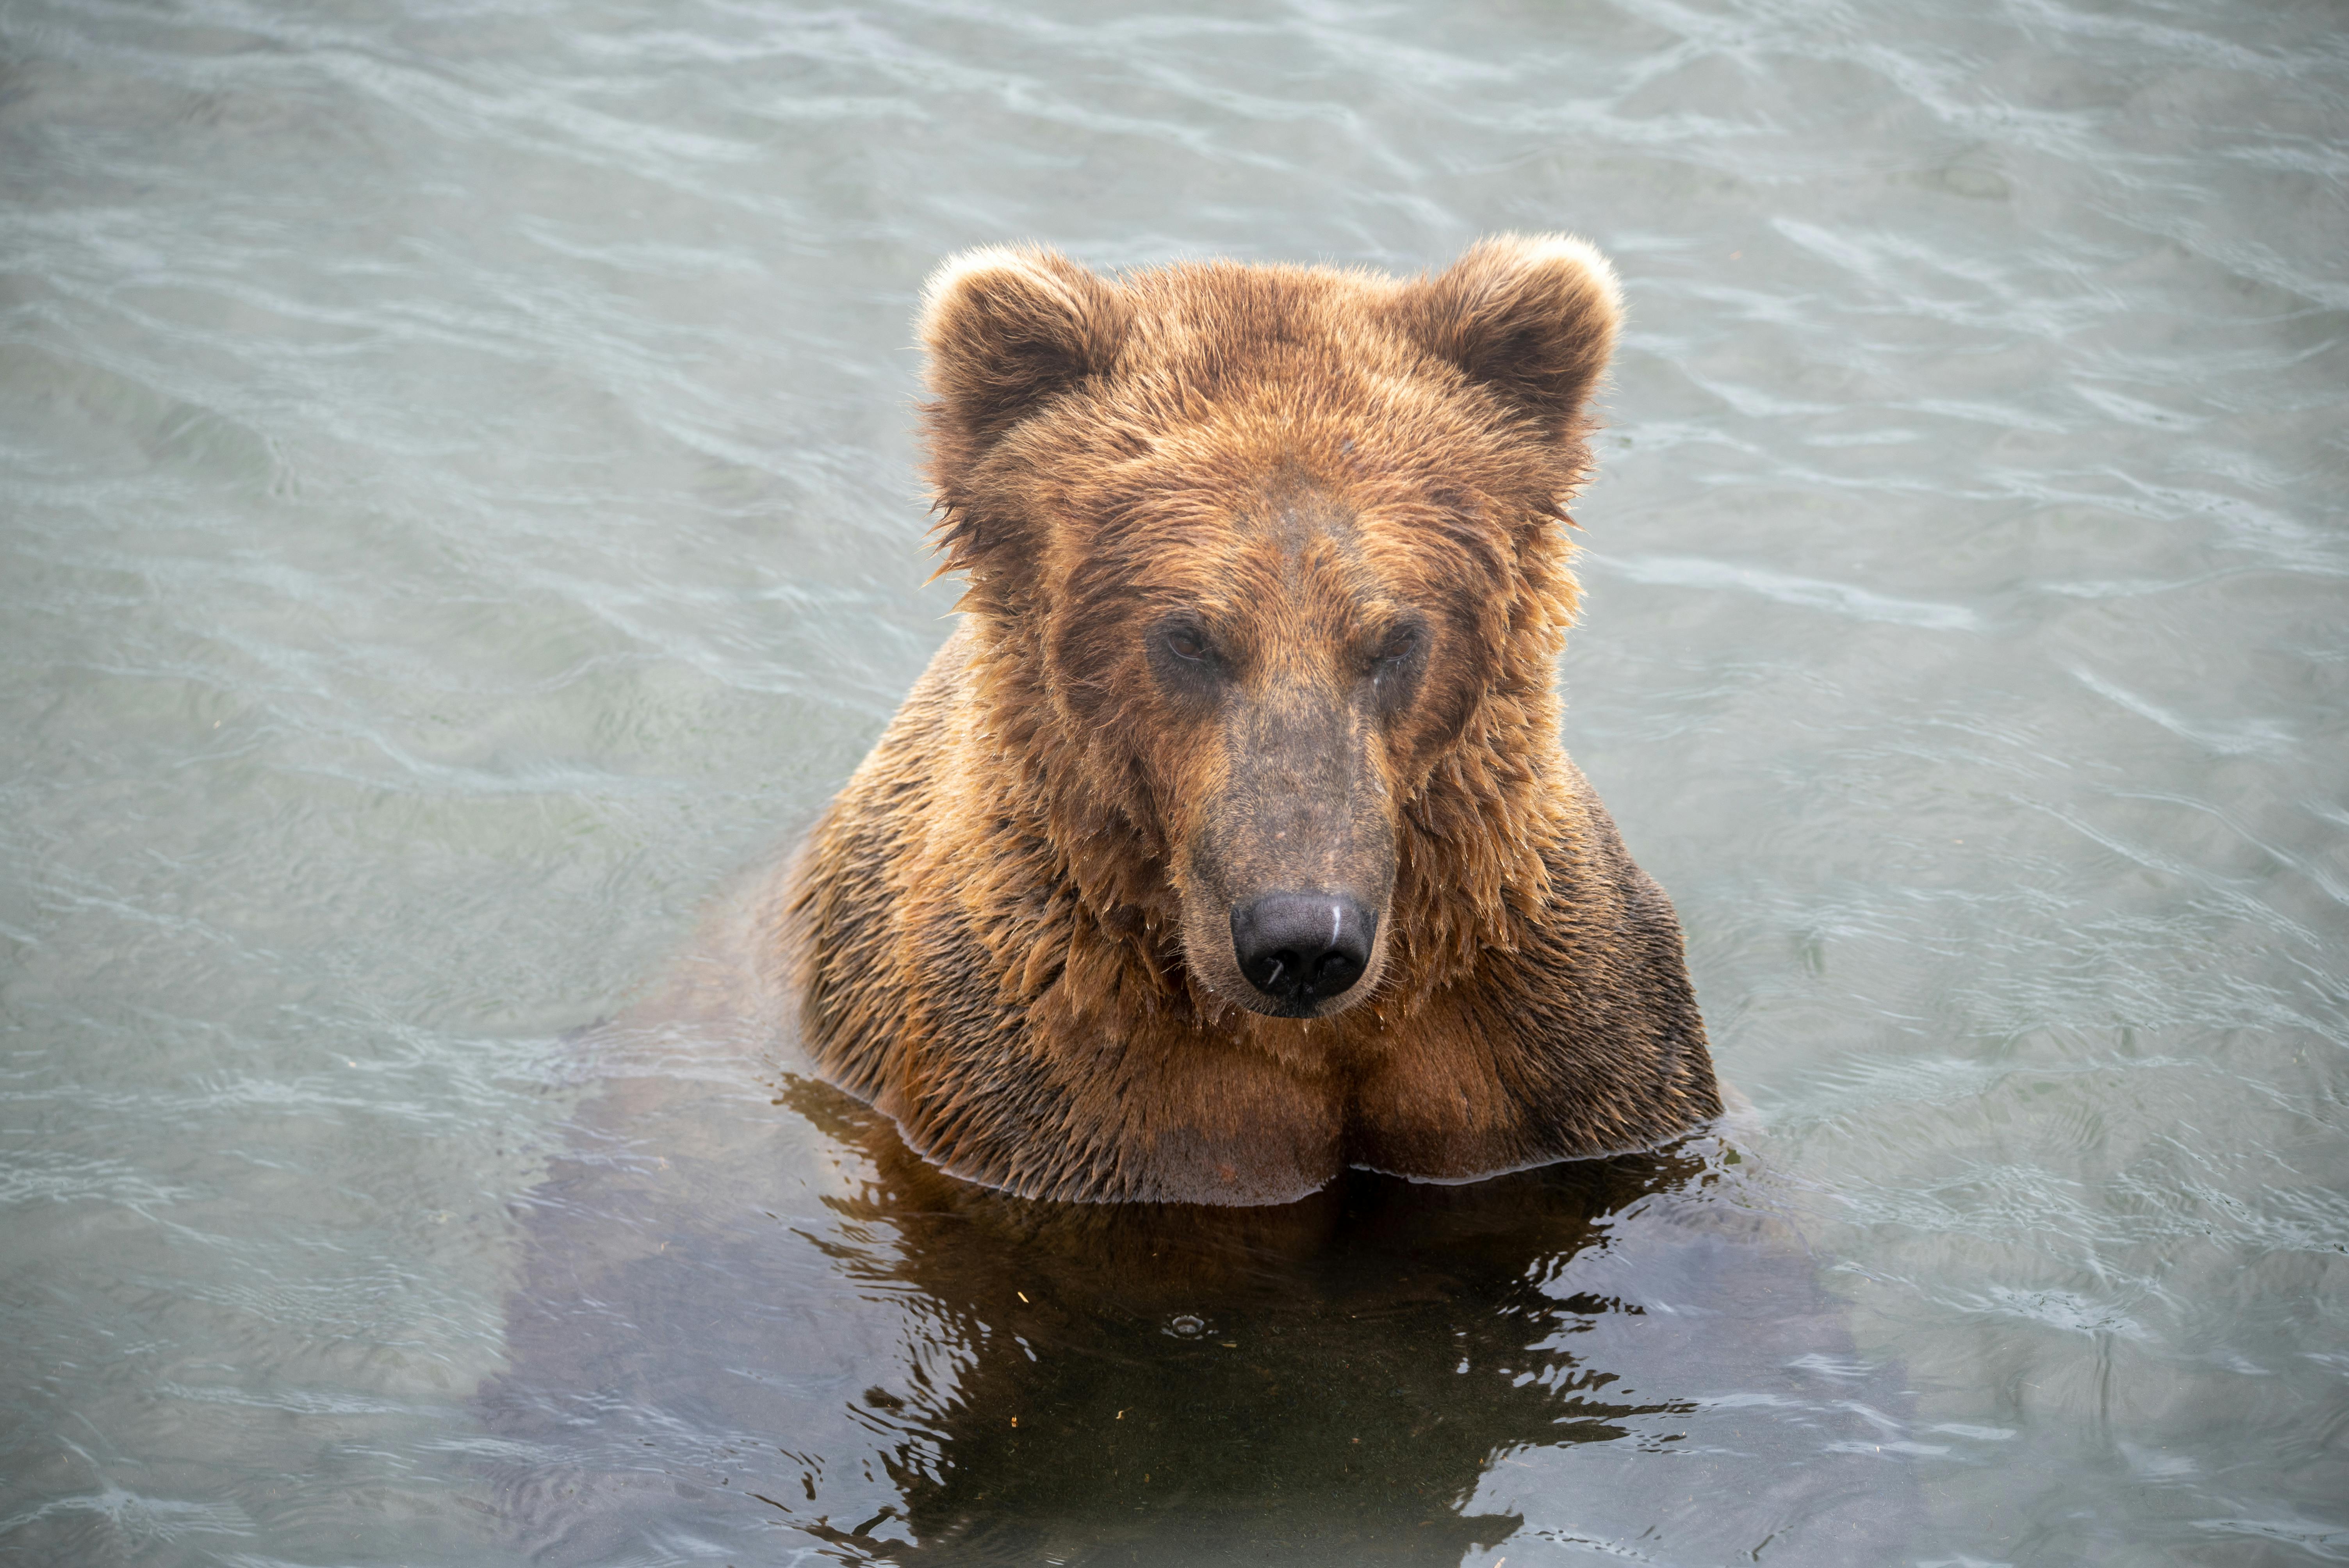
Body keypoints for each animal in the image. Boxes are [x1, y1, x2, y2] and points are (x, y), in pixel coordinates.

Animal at [783, 234, 1720, 1205]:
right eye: (1188, 636)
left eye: (1395, 637)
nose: (1302, 941)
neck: (1334, 1033)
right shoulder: (1061, 1086)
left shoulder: (1554, 1043)